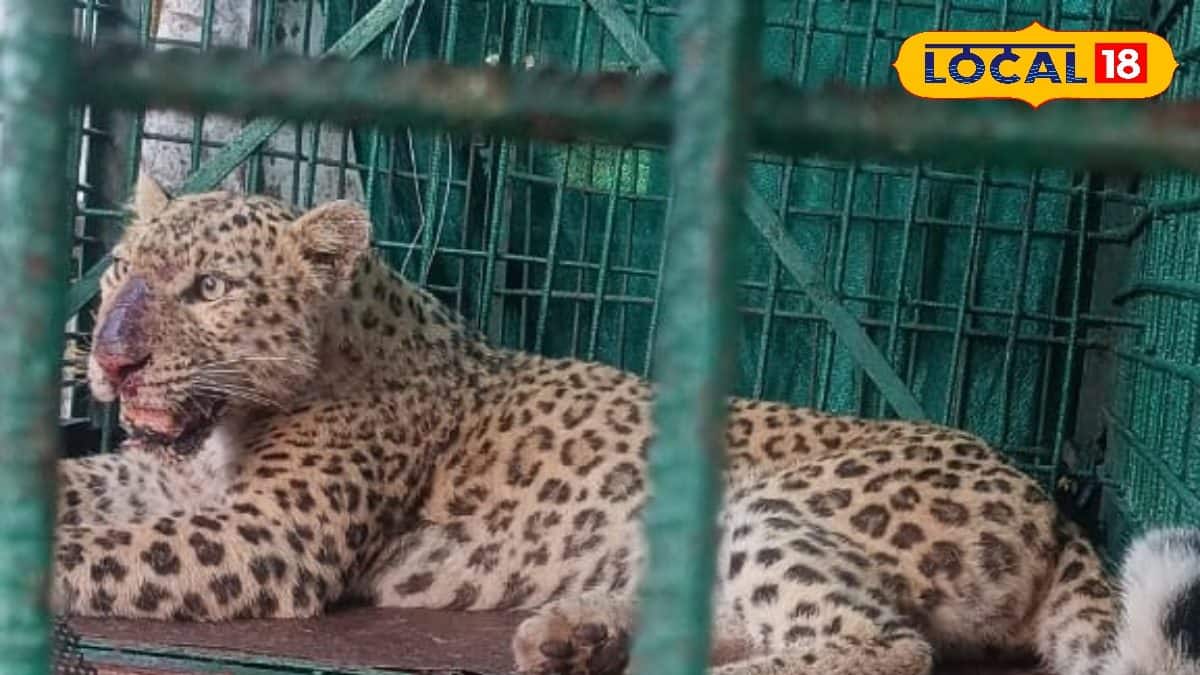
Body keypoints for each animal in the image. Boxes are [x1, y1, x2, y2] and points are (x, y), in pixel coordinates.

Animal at [52, 172, 1195, 675]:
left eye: (208, 288)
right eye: (119, 268)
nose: (111, 357)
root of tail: (1050, 506)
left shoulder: (272, 538)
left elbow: (100, 554)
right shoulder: (152, 479)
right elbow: (69, 494)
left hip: (778, 503)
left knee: (879, 647)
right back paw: (578, 636)